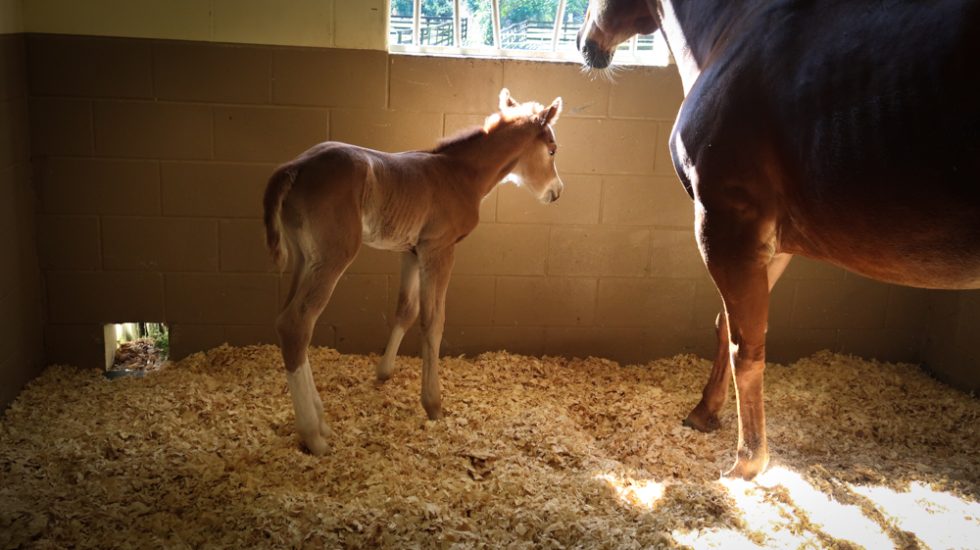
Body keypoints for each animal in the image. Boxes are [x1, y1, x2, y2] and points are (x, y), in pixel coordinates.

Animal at [263, 89, 564, 455]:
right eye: (552, 149)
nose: (556, 192)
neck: (460, 174)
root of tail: (294, 167)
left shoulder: (411, 252)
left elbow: (406, 310)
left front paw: (383, 373)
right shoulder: (439, 249)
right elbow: (433, 320)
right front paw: (433, 404)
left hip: (305, 257)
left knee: (287, 320)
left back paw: (320, 418)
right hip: (334, 255)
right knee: (297, 324)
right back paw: (314, 435)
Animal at [578, 0, 980, 479]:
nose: (584, 43)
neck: (731, 32)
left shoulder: (727, 228)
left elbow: (745, 348)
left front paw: (747, 463)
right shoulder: (773, 244)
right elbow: (726, 325)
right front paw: (704, 414)